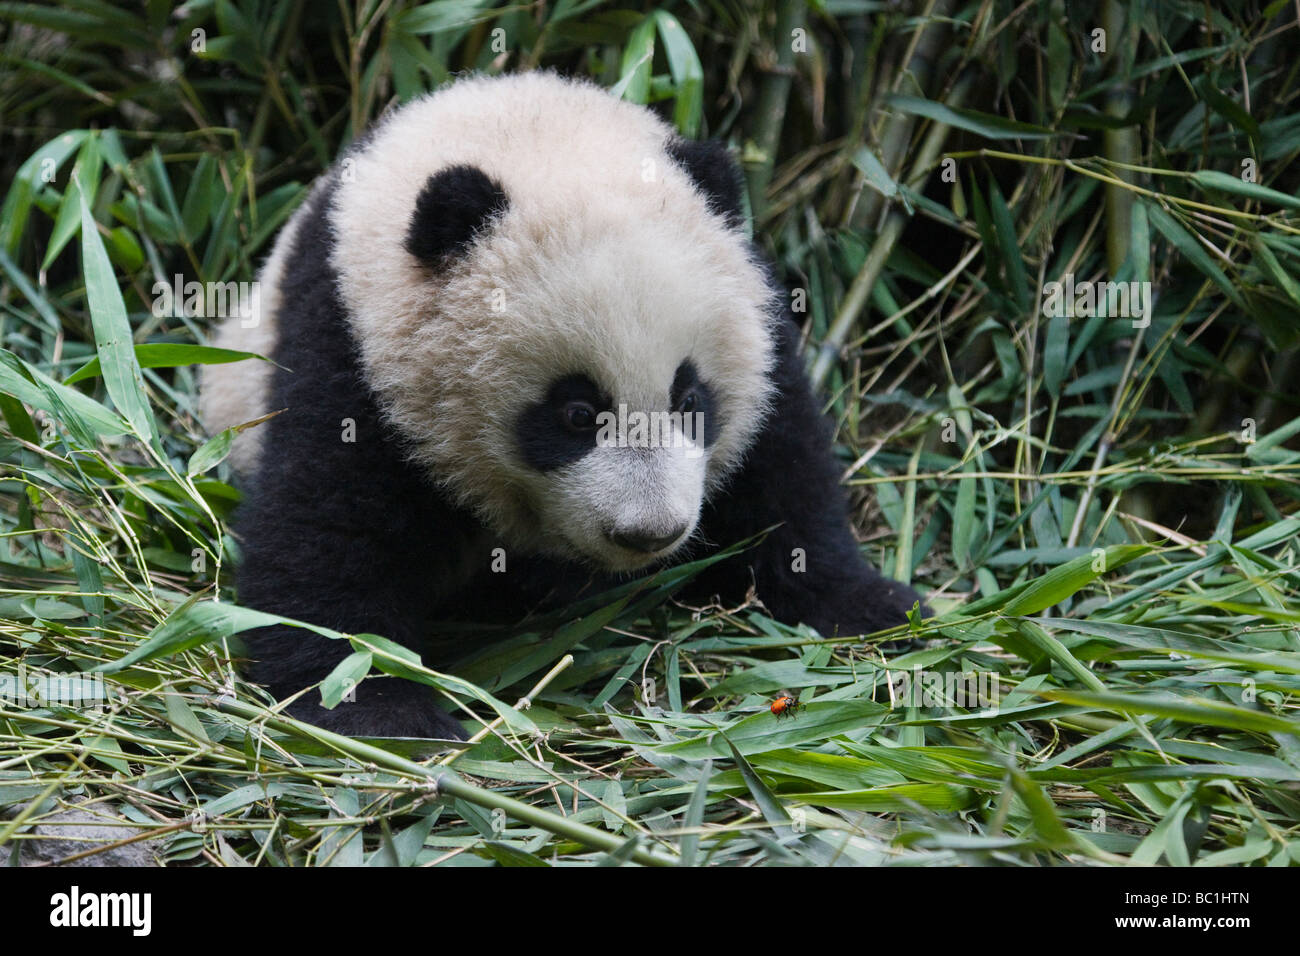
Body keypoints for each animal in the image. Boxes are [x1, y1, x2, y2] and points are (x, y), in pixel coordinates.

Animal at [200, 72, 921, 740]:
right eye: (576, 414)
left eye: (691, 400)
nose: (648, 533)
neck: (520, 129)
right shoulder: (349, 336)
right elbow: (327, 531)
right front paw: (381, 707)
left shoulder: (759, 322)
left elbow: (783, 477)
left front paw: (870, 604)